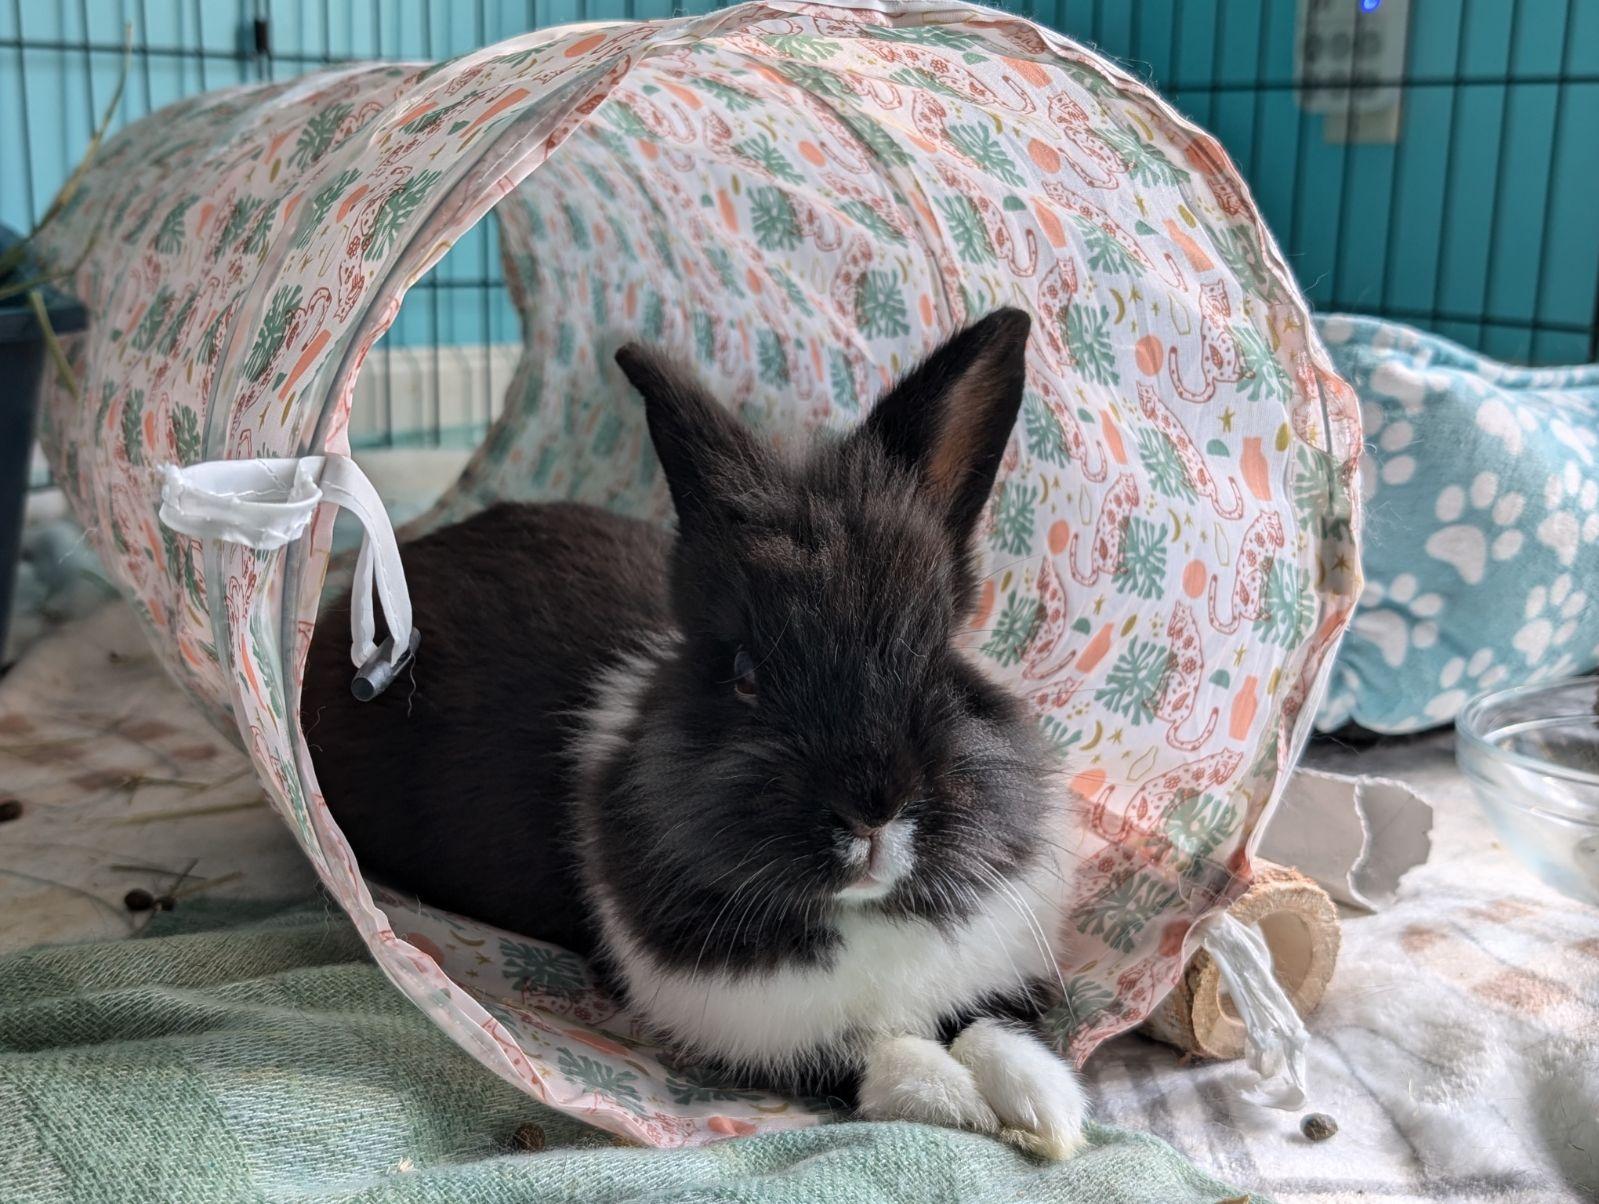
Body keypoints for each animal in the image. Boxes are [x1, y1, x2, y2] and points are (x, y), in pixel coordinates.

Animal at [301, 308, 1087, 1158]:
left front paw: (1048, 1107)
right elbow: (869, 1056)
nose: (873, 809)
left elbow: (986, 1022)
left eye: (939, 655)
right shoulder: (765, 1034)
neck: (863, 911)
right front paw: (961, 1102)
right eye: (743, 673)